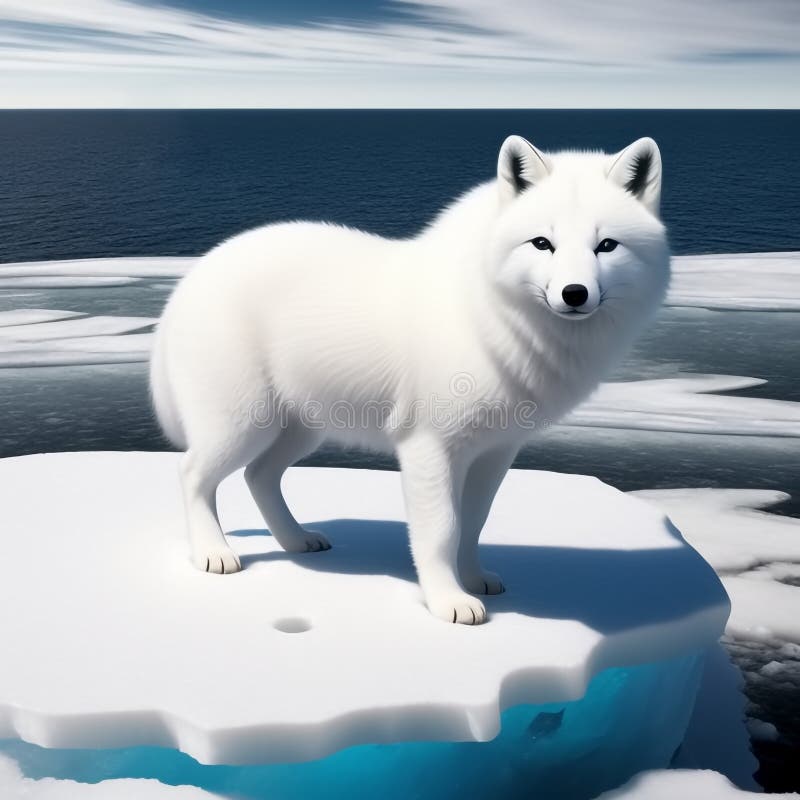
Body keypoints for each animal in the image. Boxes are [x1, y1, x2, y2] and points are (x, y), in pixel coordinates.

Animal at [150, 135, 670, 625]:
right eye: (542, 243)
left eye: (607, 245)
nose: (574, 293)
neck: (488, 314)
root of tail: (192, 276)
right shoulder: (429, 446)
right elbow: (442, 530)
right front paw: (448, 603)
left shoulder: (496, 451)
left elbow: (474, 523)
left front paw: (474, 579)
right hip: (243, 423)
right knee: (192, 473)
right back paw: (213, 553)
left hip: (300, 428)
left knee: (259, 475)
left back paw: (296, 539)